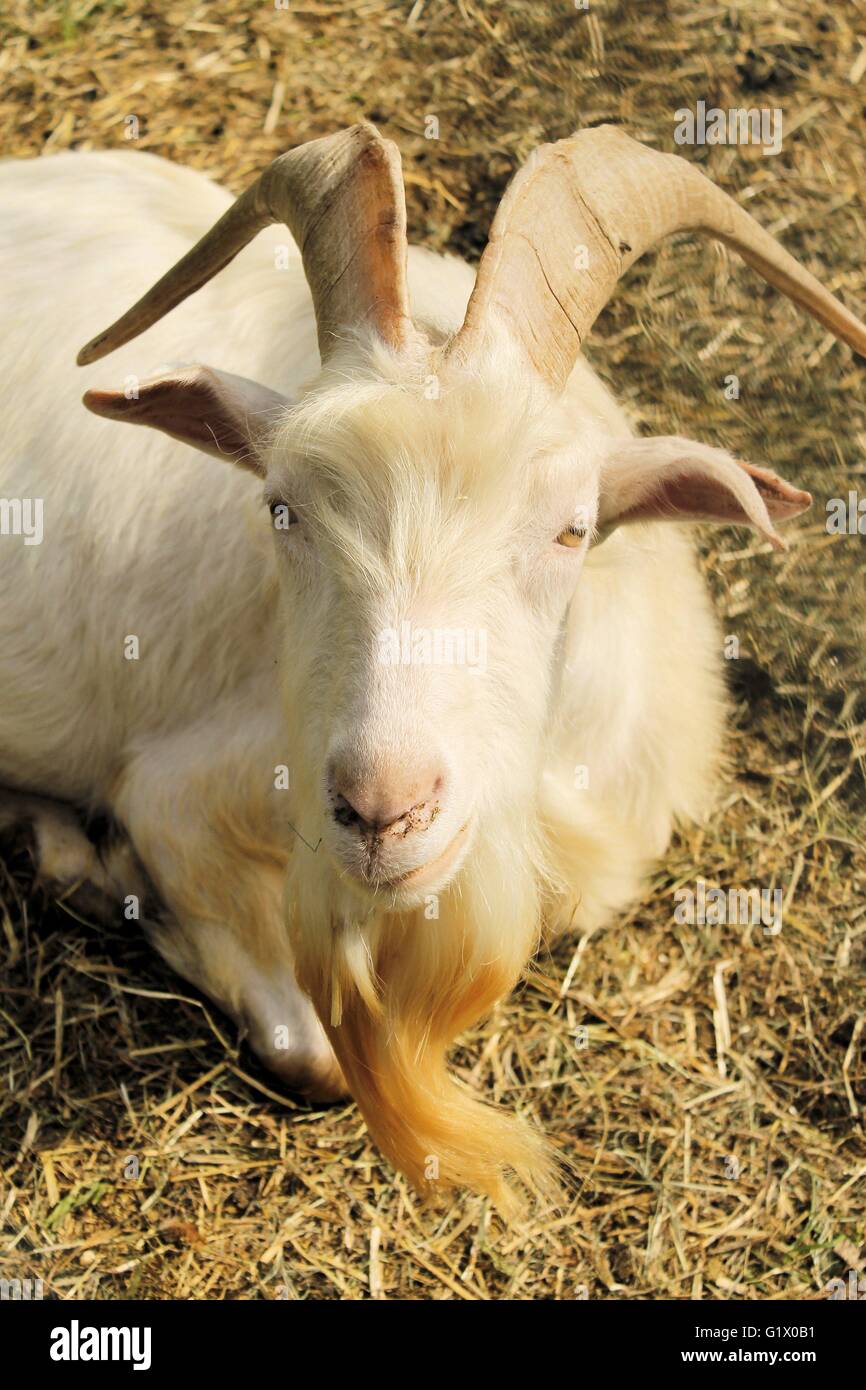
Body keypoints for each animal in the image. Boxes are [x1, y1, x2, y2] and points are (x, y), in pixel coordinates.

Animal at [2, 124, 864, 1213]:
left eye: (572, 528)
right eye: (280, 507)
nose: (382, 808)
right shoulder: (187, 783)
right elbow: (312, 1053)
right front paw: (117, 877)